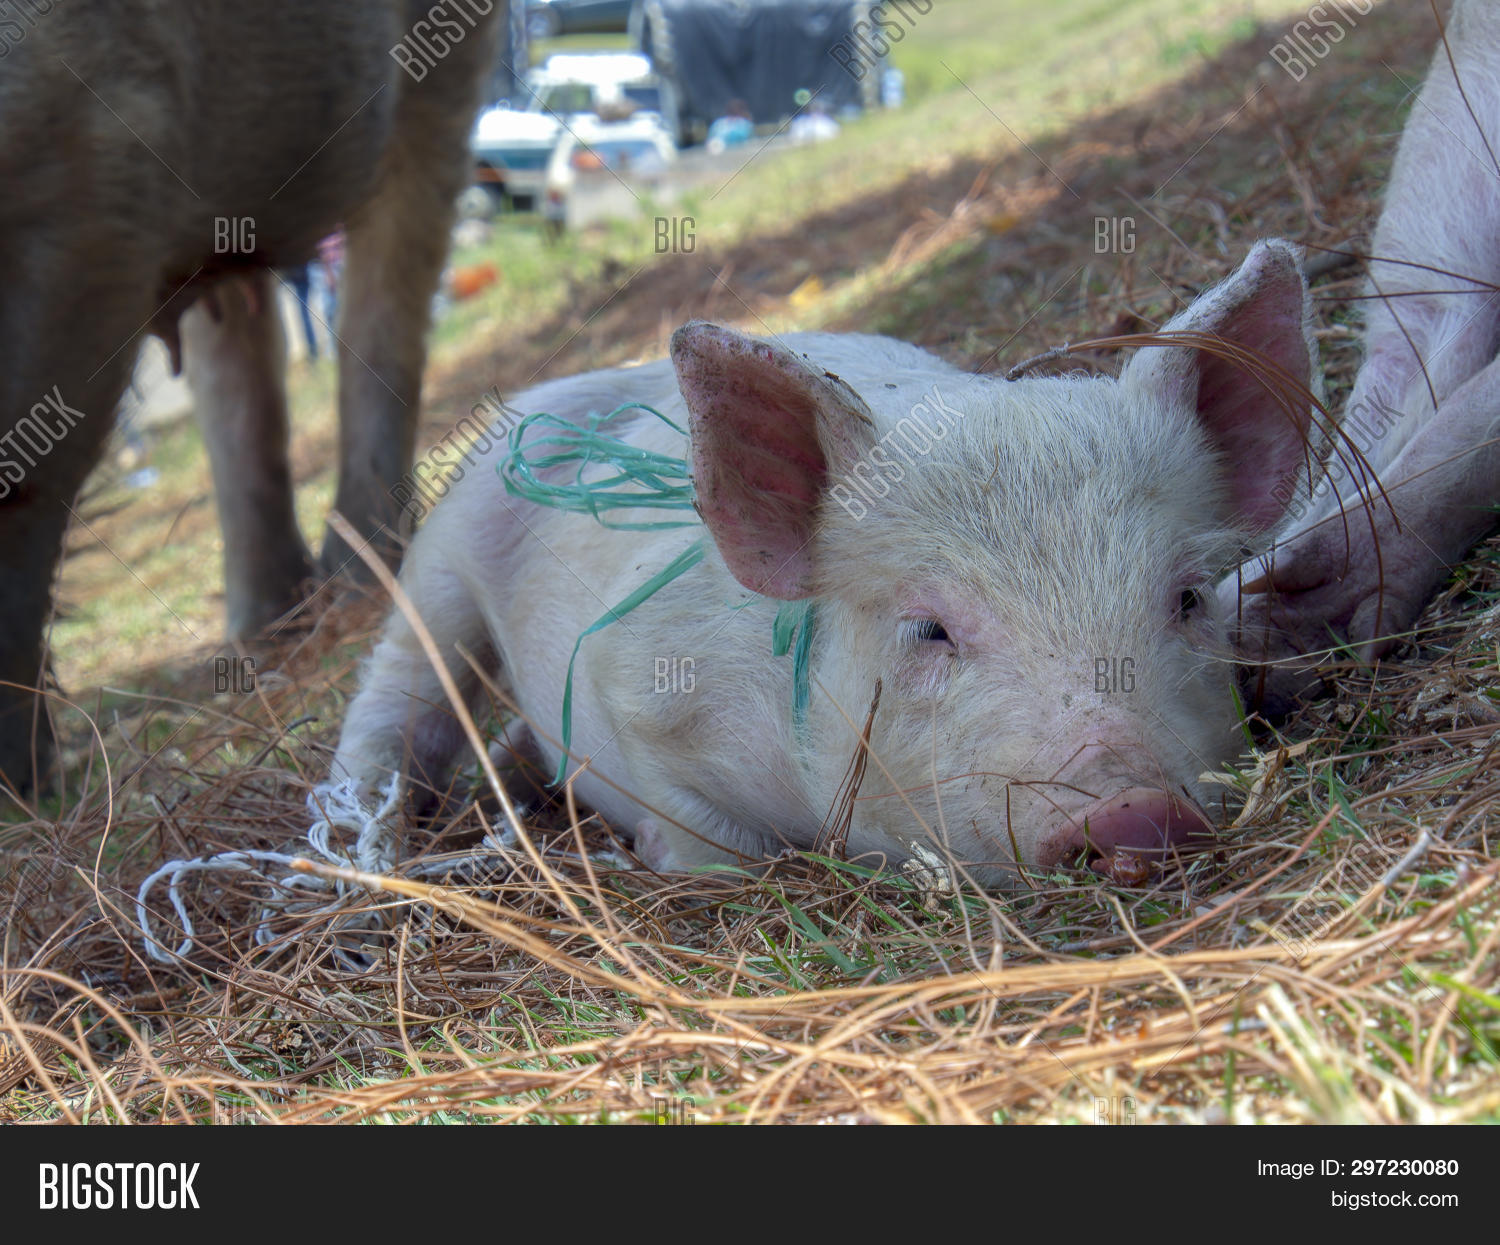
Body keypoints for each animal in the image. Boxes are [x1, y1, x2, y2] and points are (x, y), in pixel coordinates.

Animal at [0, 2, 504, 792]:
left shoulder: (92, 169)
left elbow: (25, 481)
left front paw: (24, 785)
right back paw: (263, 627)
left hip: (450, 53)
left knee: (395, 268)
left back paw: (360, 584)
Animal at [331, 239, 1318, 883]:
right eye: (929, 627)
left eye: (1187, 599)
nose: (1137, 811)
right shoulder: (636, 683)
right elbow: (710, 842)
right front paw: (665, 858)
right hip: (439, 561)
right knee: (397, 701)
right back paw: (370, 844)